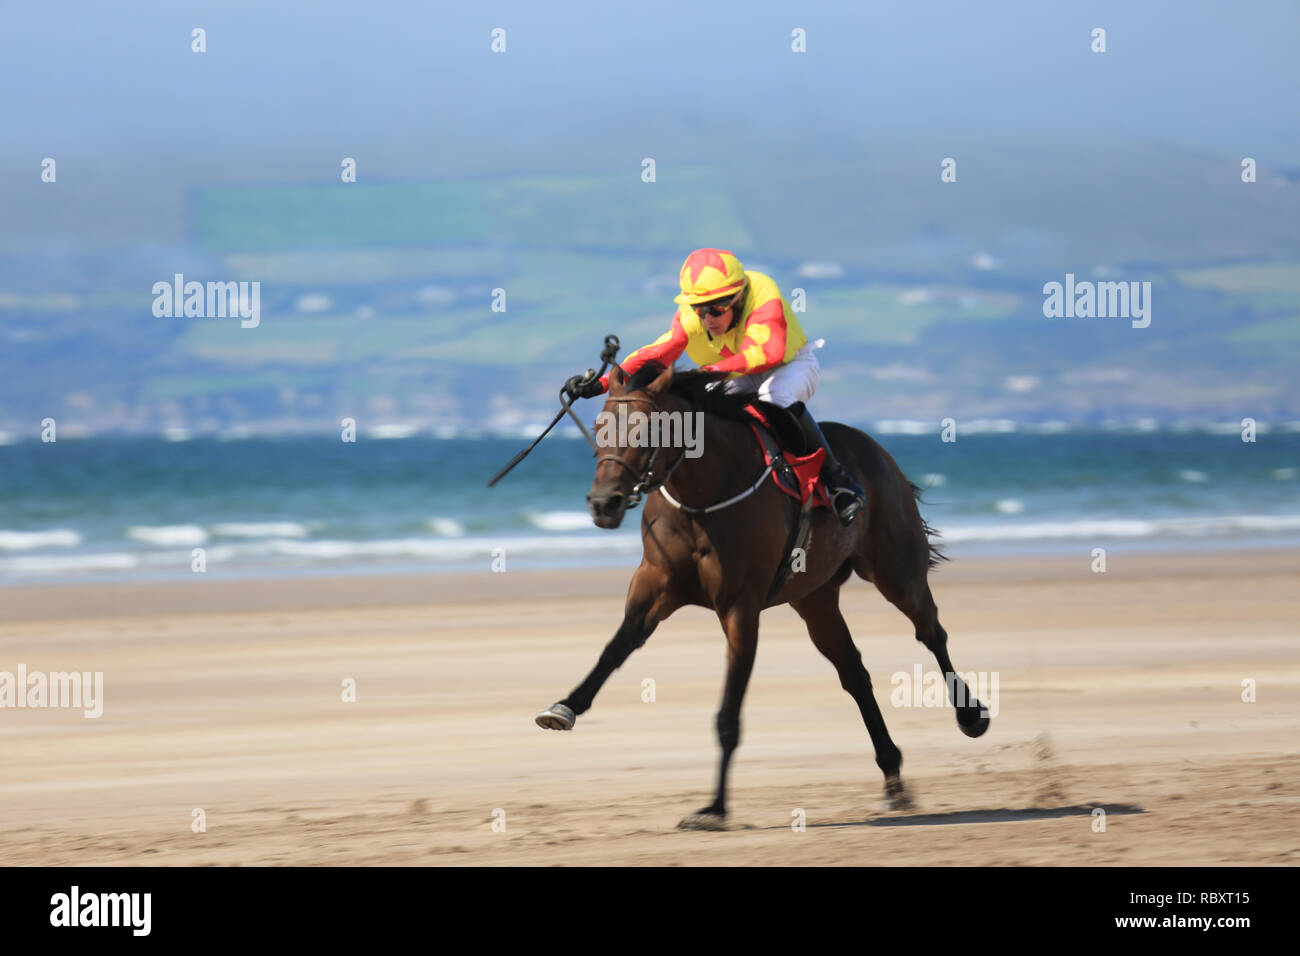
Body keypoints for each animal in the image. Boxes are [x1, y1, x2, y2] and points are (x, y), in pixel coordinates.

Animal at [534, 360, 990, 829]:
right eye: (600, 426)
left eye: (647, 430)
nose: (602, 503)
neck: (704, 494)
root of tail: (878, 451)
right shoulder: (655, 583)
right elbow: (616, 648)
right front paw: (565, 707)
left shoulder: (740, 607)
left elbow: (728, 714)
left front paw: (714, 807)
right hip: (815, 598)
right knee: (854, 673)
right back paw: (893, 776)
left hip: (895, 571)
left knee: (931, 631)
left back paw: (970, 714)